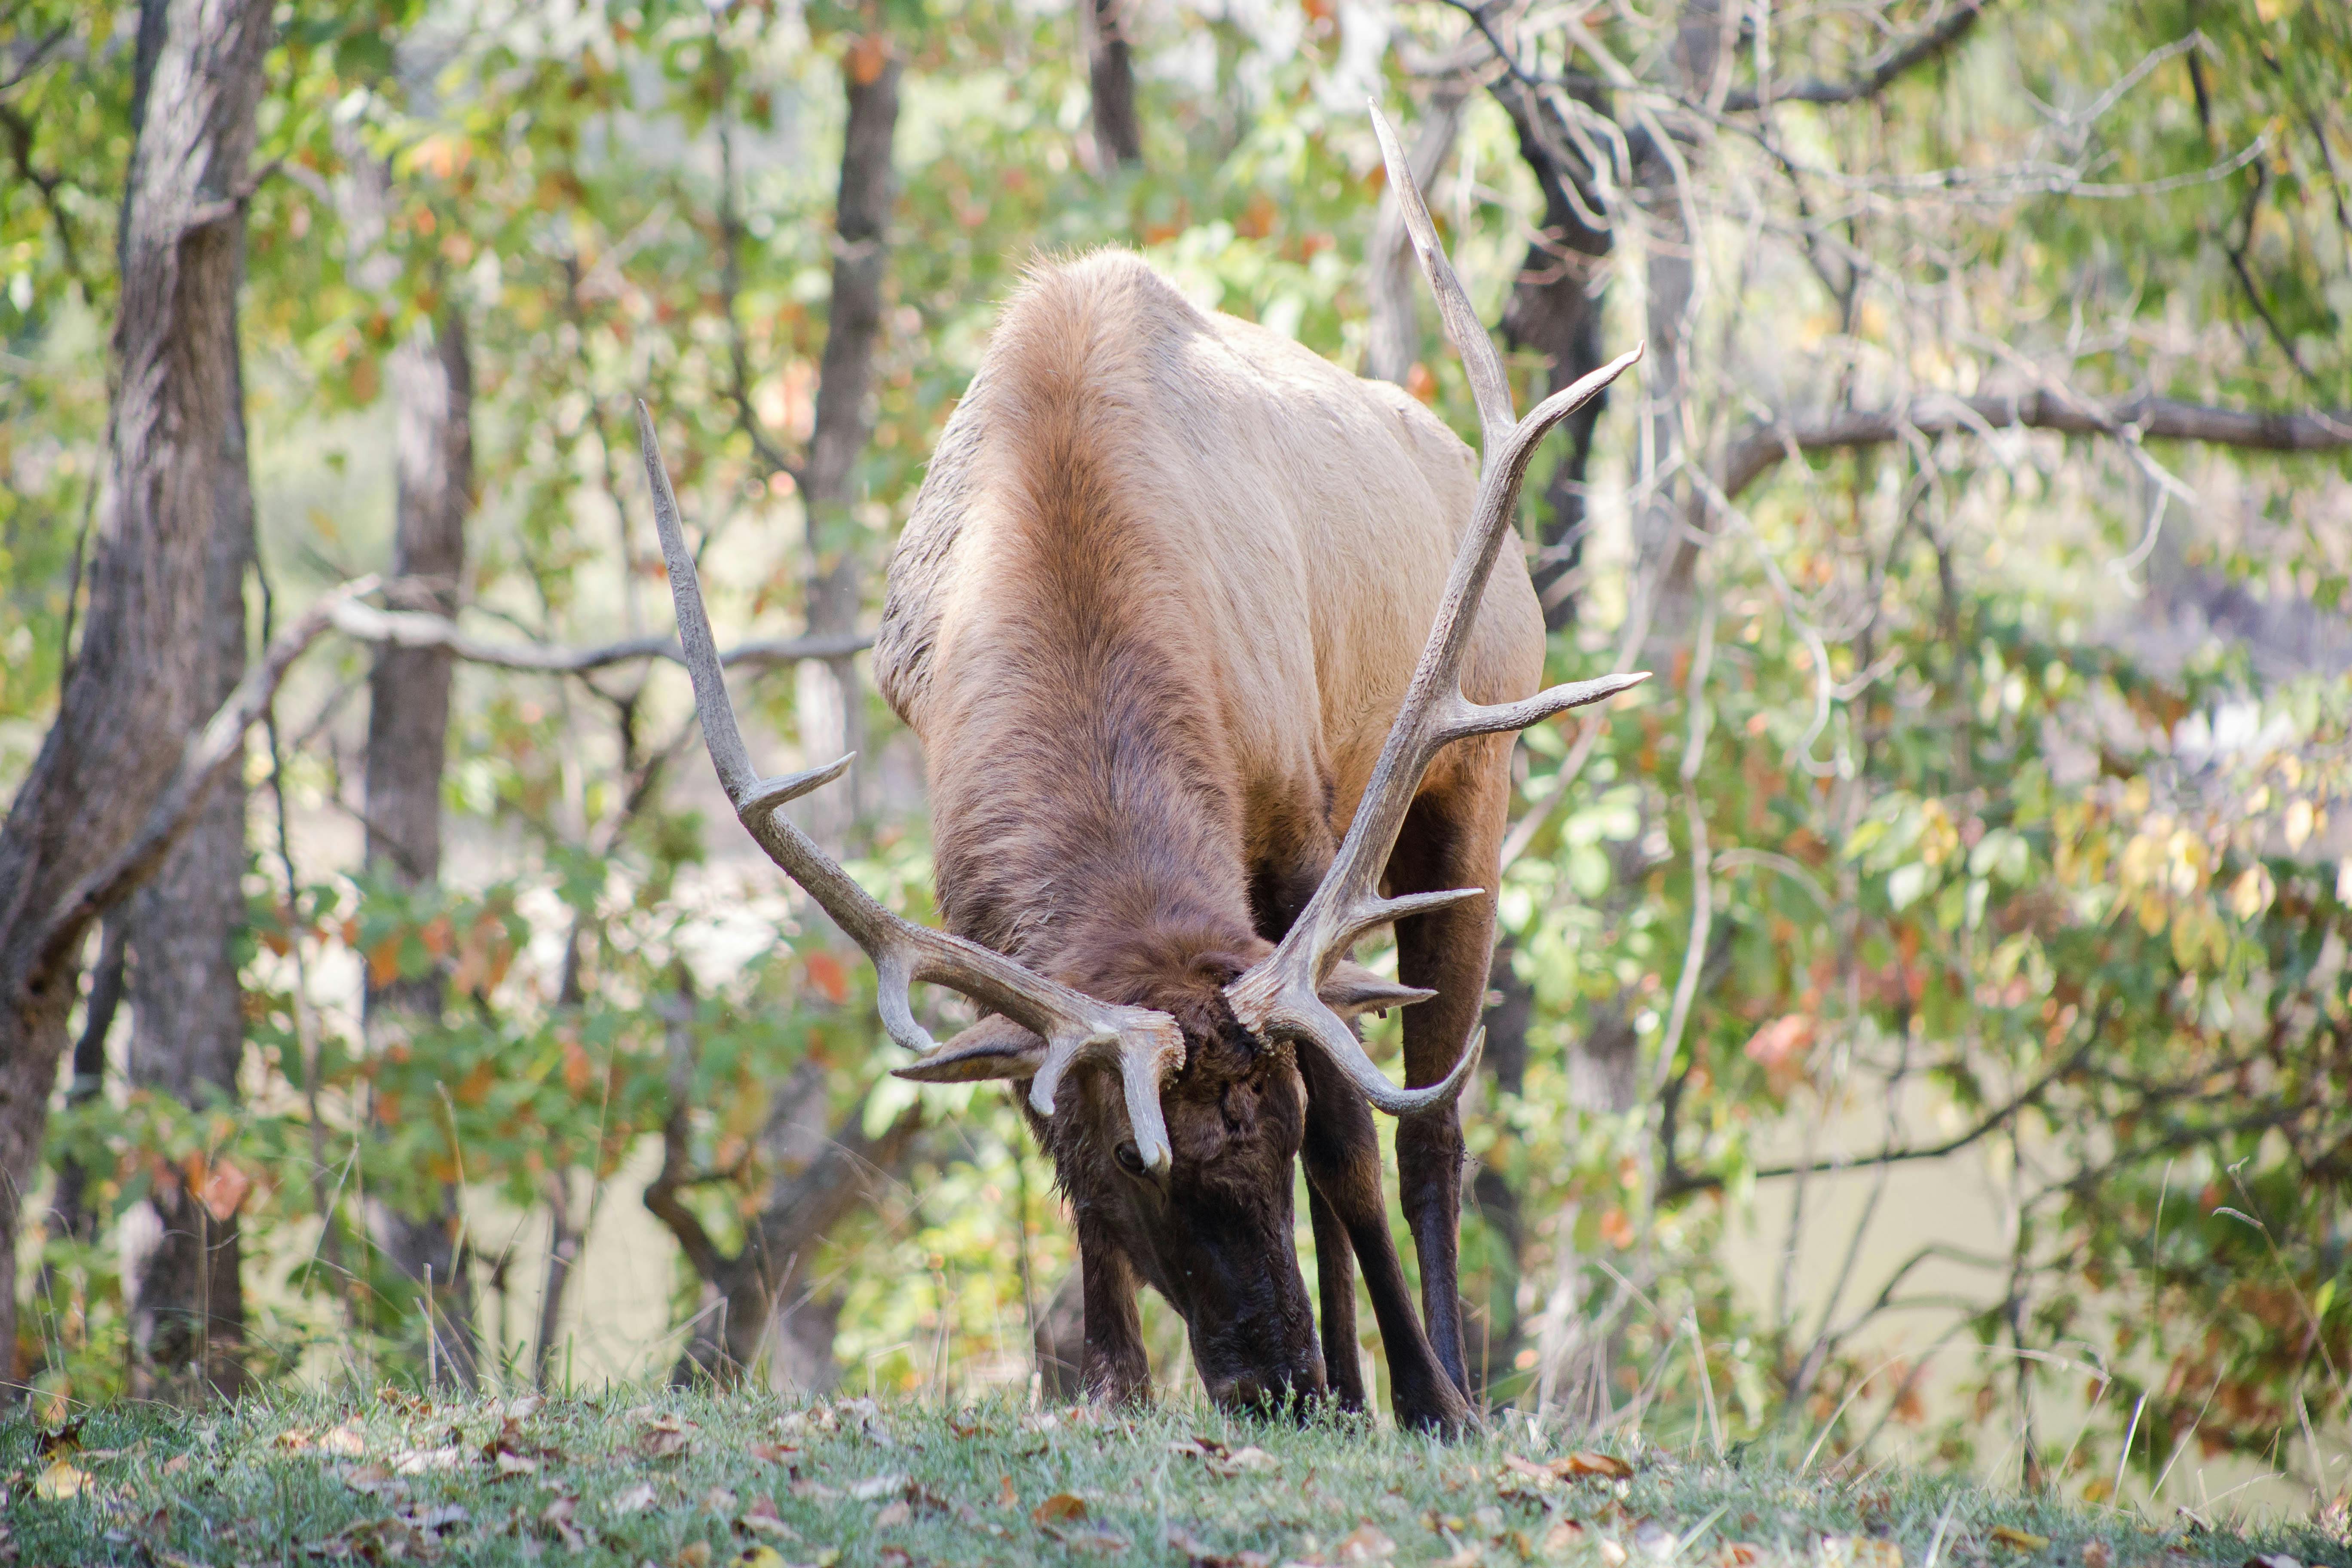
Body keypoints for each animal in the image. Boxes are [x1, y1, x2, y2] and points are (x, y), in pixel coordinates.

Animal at [637, 107, 1642, 1433]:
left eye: (1275, 1128)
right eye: (1134, 1154)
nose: (1274, 1379)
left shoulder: (1298, 817)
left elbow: (1351, 1143)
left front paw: (1421, 1395)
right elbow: (1041, 1113)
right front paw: (1109, 1382)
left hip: (1469, 774)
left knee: (1433, 1124)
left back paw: (1442, 1382)